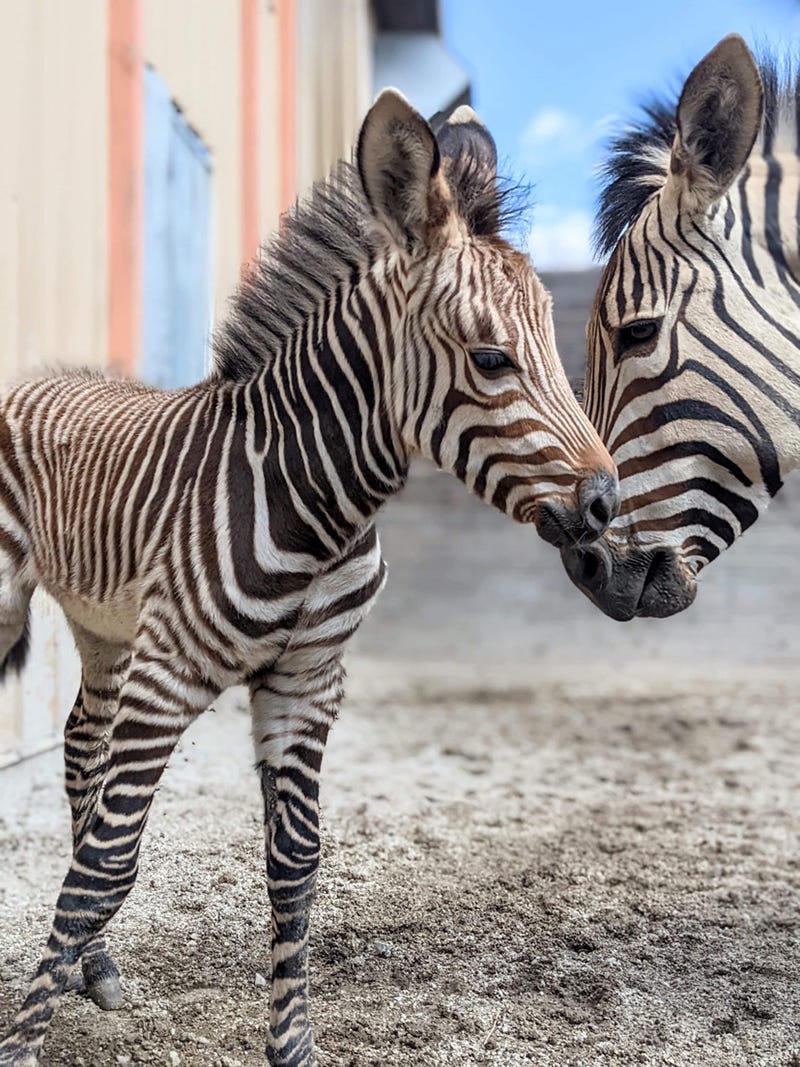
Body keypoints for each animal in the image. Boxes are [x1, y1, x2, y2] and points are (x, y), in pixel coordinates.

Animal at [0, 91, 617, 1067]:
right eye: (491, 360)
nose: (604, 506)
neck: (318, 503)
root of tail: (43, 376)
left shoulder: (307, 679)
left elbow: (294, 862)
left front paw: (291, 1042)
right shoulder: (170, 675)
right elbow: (106, 863)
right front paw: (25, 1039)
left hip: (105, 629)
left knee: (77, 745)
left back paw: (93, 966)